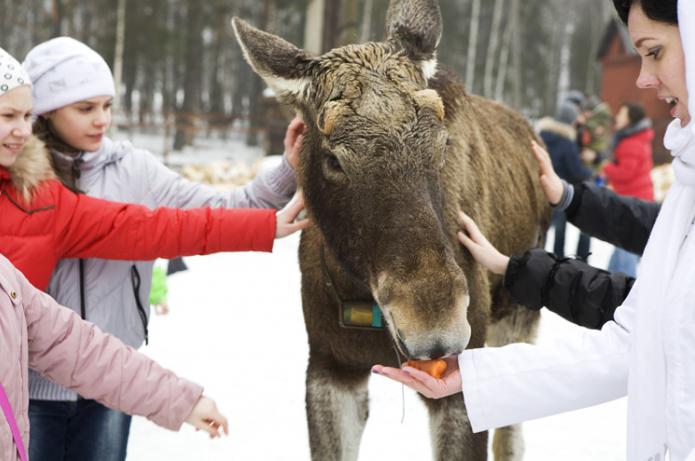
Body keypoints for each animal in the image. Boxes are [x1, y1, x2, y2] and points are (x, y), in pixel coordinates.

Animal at [237, 1, 552, 458]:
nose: (433, 327)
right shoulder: (330, 366)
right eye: (333, 158)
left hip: (517, 317)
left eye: (442, 143)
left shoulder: (460, 383)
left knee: (511, 437)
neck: (356, 289)